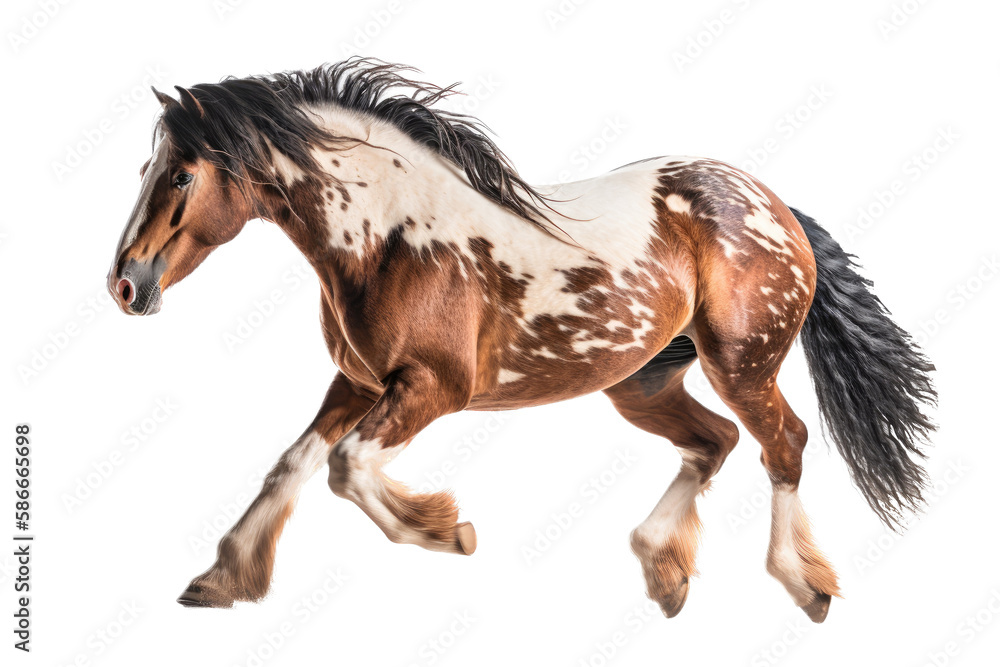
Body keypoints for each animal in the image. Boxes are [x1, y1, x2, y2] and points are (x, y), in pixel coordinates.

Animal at [107, 58, 936, 622]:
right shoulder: (358, 383)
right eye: (148, 166)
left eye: (180, 176)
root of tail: (774, 203)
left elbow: (347, 467)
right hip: (641, 381)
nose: (124, 285)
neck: (391, 239)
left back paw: (805, 583)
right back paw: (663, 570)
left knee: (782, 443)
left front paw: (446, 529)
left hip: (742, 362)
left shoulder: (433, 388)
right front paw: (221, 580)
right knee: (714, 441)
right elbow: (294, 462)